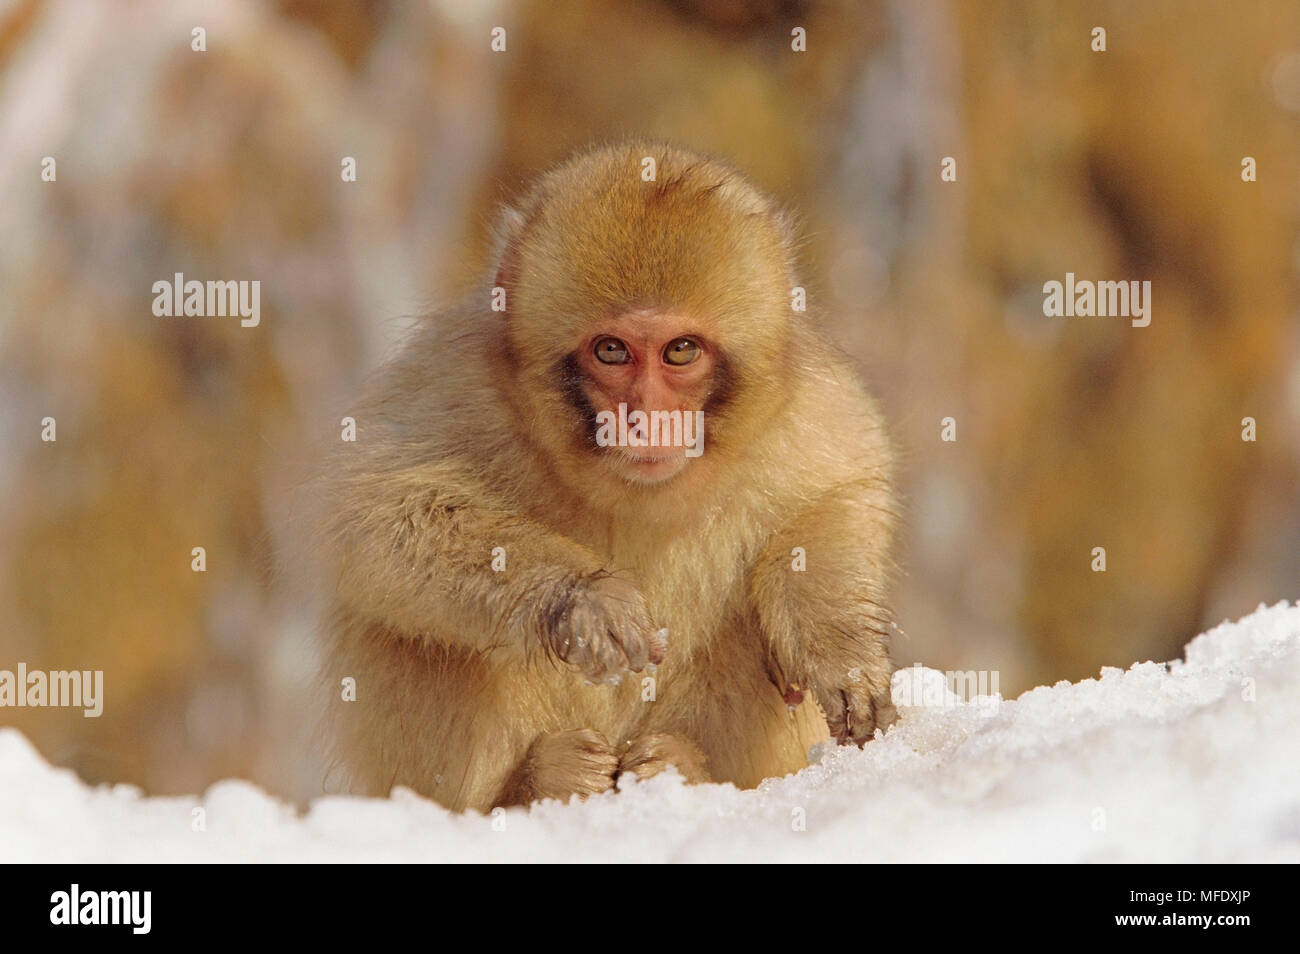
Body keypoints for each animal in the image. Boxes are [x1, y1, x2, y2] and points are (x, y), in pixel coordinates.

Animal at [319, 141, 897, 813]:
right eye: (612, 350)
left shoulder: (806, 408)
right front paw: (586, 599)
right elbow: (374, 515)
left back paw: (682, 769)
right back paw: (535, 783)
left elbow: (837, 499)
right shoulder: (456, 376)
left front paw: (839, 650)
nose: (645, 420)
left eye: (680, 351)